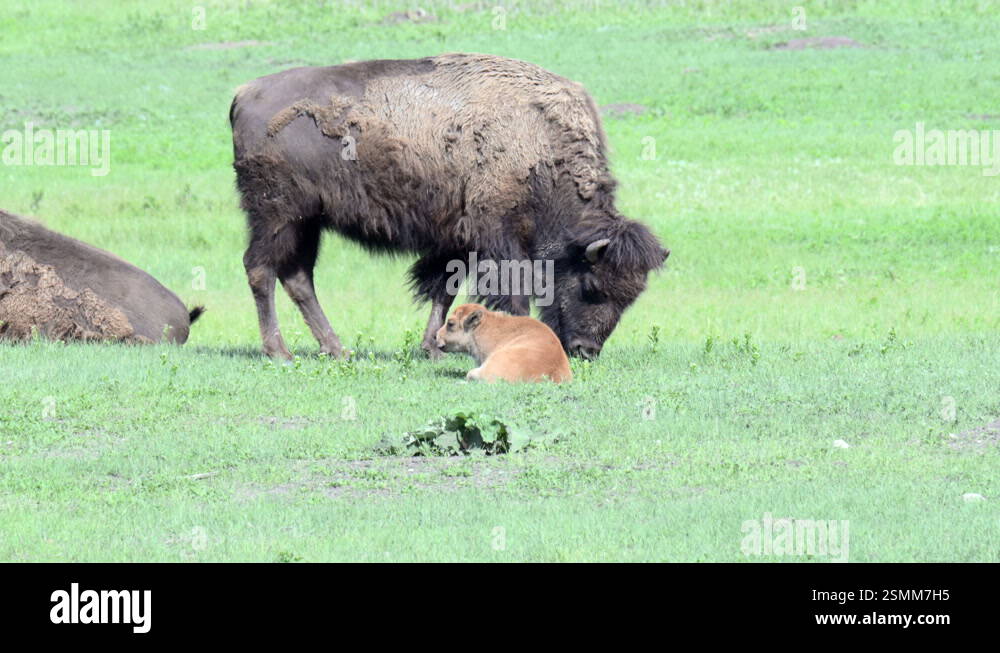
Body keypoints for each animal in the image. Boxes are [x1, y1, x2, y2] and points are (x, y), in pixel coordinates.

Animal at [230, 53, 668, 361]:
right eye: (592, 286)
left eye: (631, 297)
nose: (584, 351)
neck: (542, 148)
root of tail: (243, 93)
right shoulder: (499, 239)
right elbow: (511, 293)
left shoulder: (458, 239)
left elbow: (445, 289)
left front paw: (433, 347)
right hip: (277, 215)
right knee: (261, 269)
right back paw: (280, 352)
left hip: (308, 222)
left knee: (298, 277)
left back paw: (336, 349)